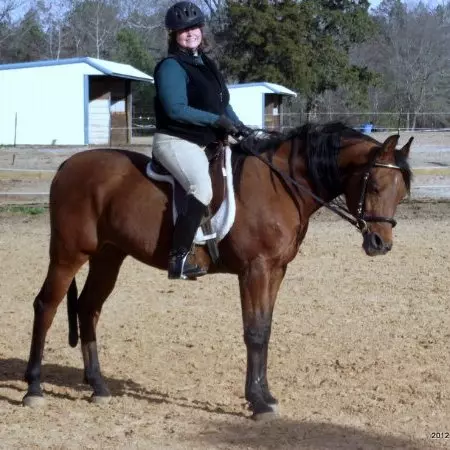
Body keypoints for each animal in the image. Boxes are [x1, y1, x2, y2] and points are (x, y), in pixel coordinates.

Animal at [22, 122, 414, 418]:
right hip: (69, 254)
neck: (282, 185)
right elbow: (253, 332)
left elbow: (265, 330)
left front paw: (266, 396)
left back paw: (99, 387)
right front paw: (257, 404)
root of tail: (67, 165)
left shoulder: (275, 271)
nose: (381, 243)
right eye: (375, 185)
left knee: (88, 308)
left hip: (108, 256)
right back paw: (34, 387)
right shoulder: (255, 270)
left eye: (402, 193)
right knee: (46, 306)